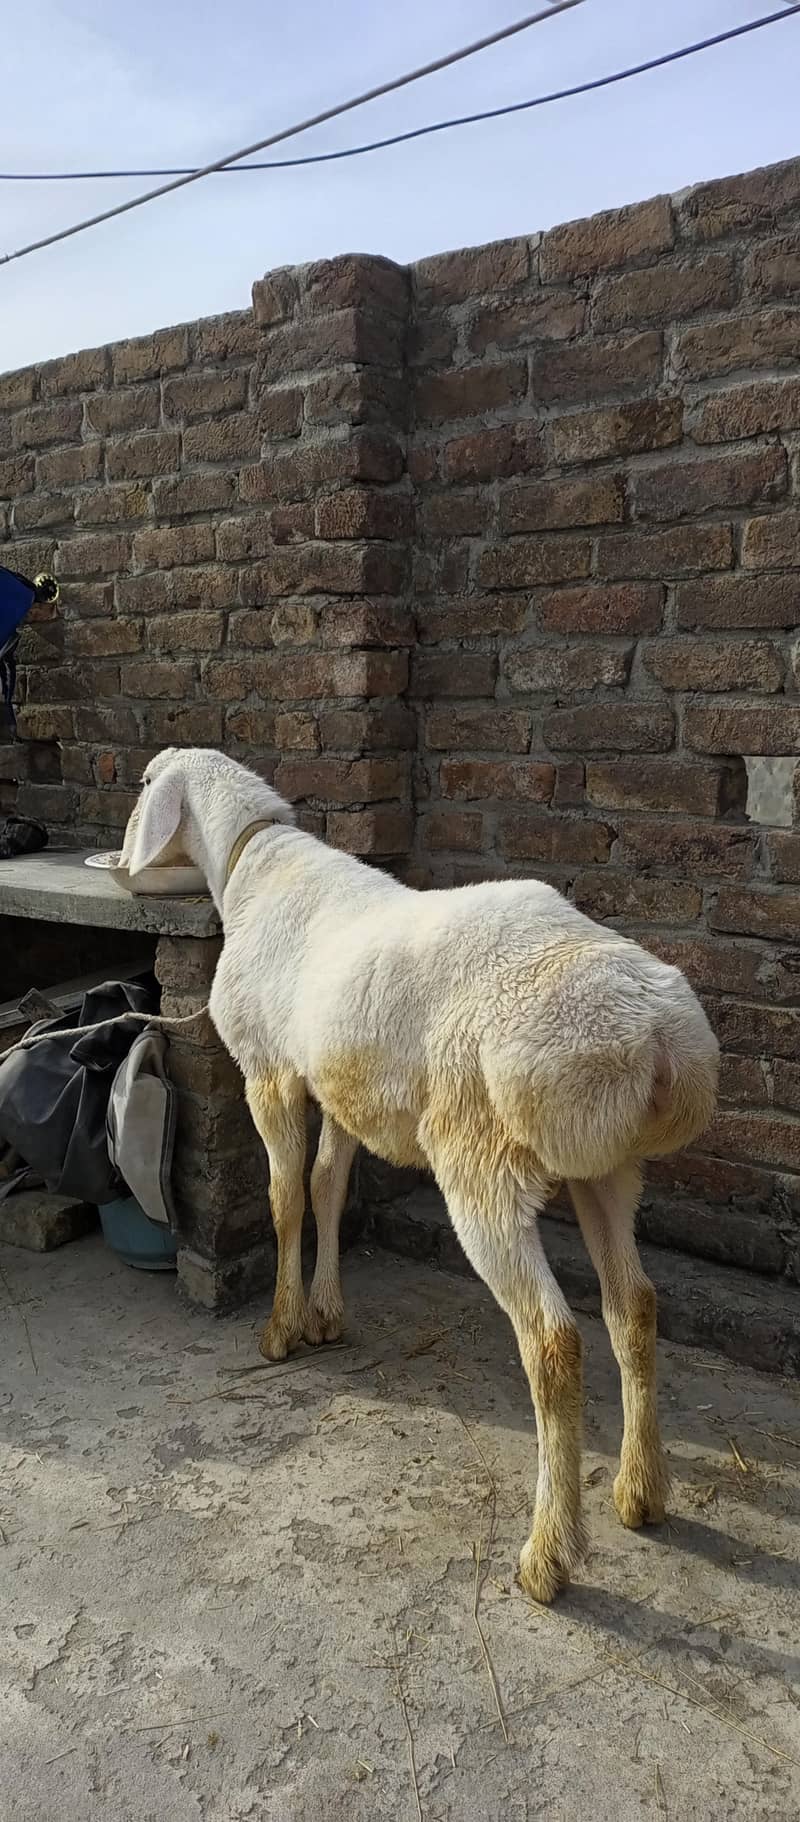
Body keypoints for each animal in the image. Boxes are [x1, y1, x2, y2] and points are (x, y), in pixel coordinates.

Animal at [123, 746, 719, 1604]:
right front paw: (326, 1314)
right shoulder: (339, 1085)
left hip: (482, 1162)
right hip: (606, 1164)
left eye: (142, 787)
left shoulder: (269, 1072)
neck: (254, 865)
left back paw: (547, 1556)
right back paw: (640, 1491)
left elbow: (282, 1200)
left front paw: (279, 1330)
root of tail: (661, 1042)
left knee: (553, 1340)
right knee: (633, 1305)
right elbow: (327, 1188)